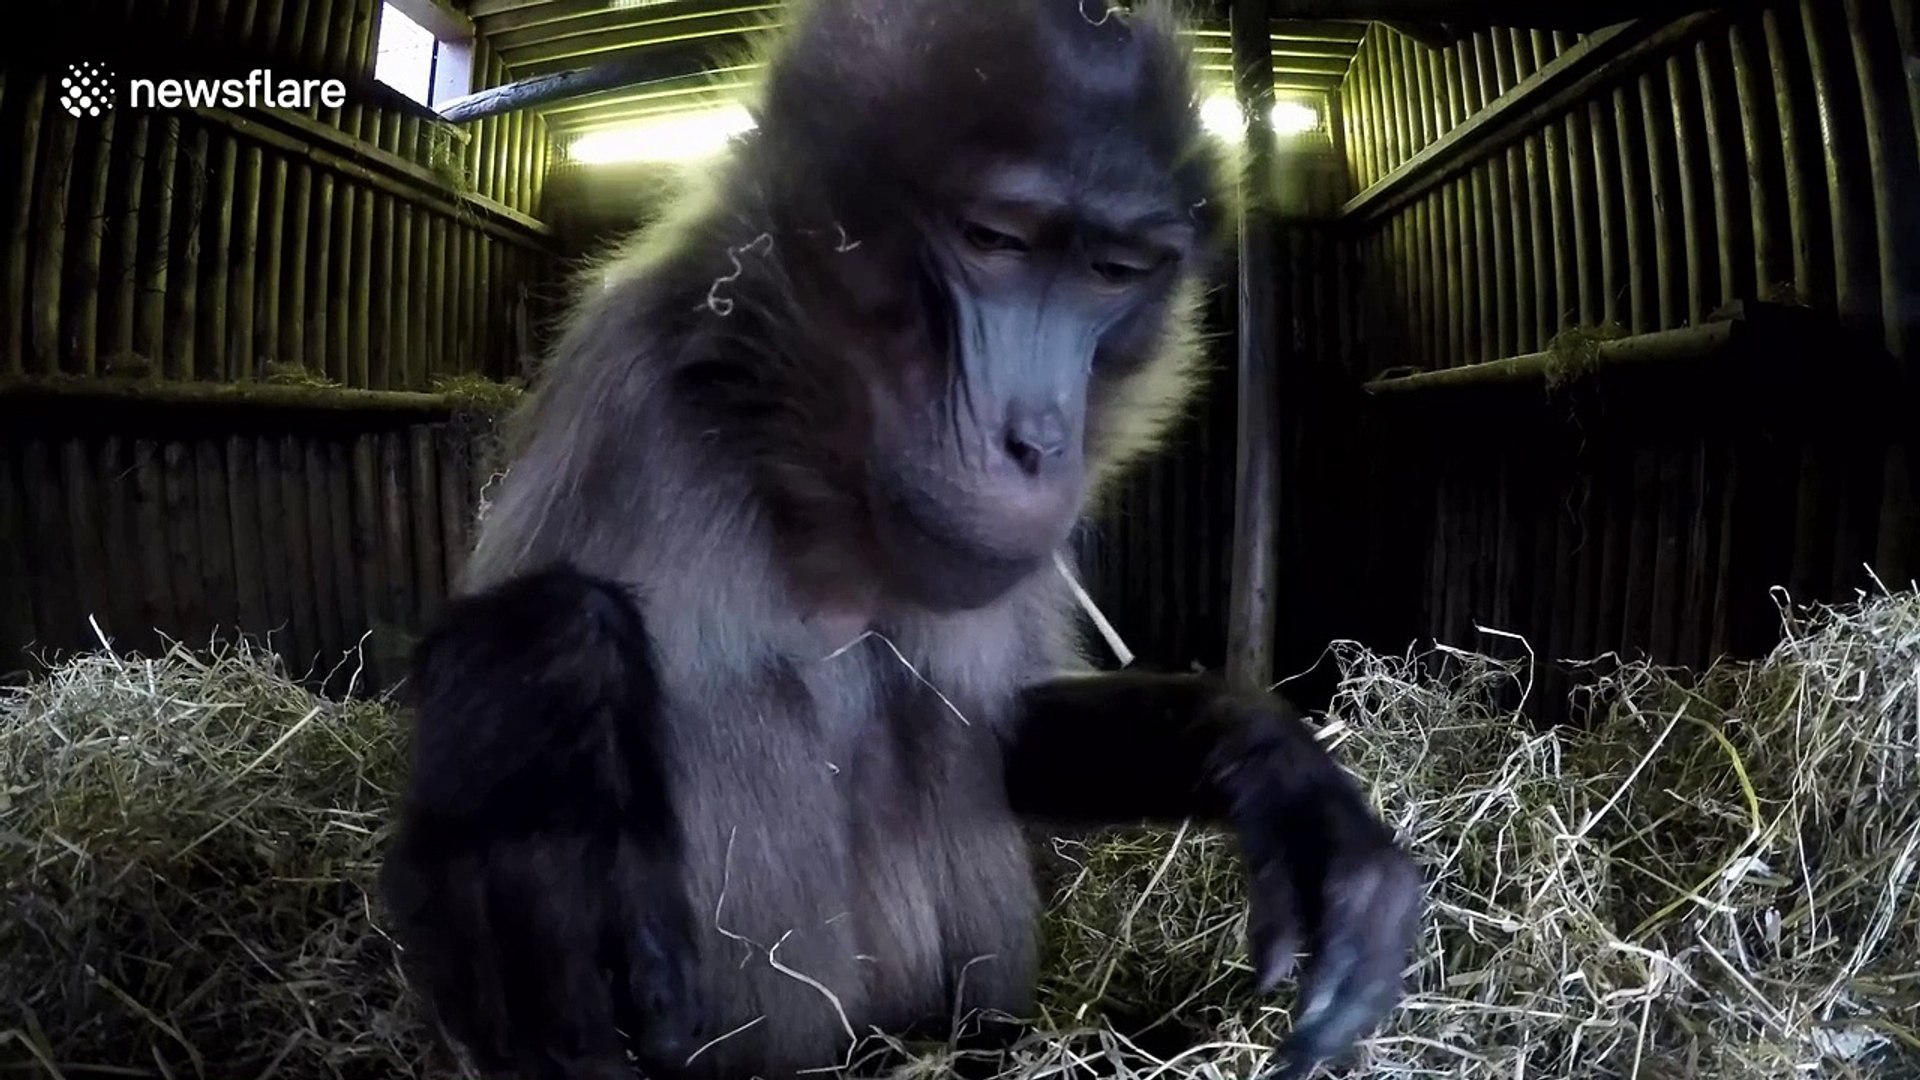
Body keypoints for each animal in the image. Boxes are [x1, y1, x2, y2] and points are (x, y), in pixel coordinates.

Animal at [376, 2, 1423, 1079]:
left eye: (1114, 272)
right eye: (996, 241)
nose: (1037, 442)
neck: (810, 474)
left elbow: (1014, 731)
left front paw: (1268, 763)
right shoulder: (627, 395)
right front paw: (540, 751)